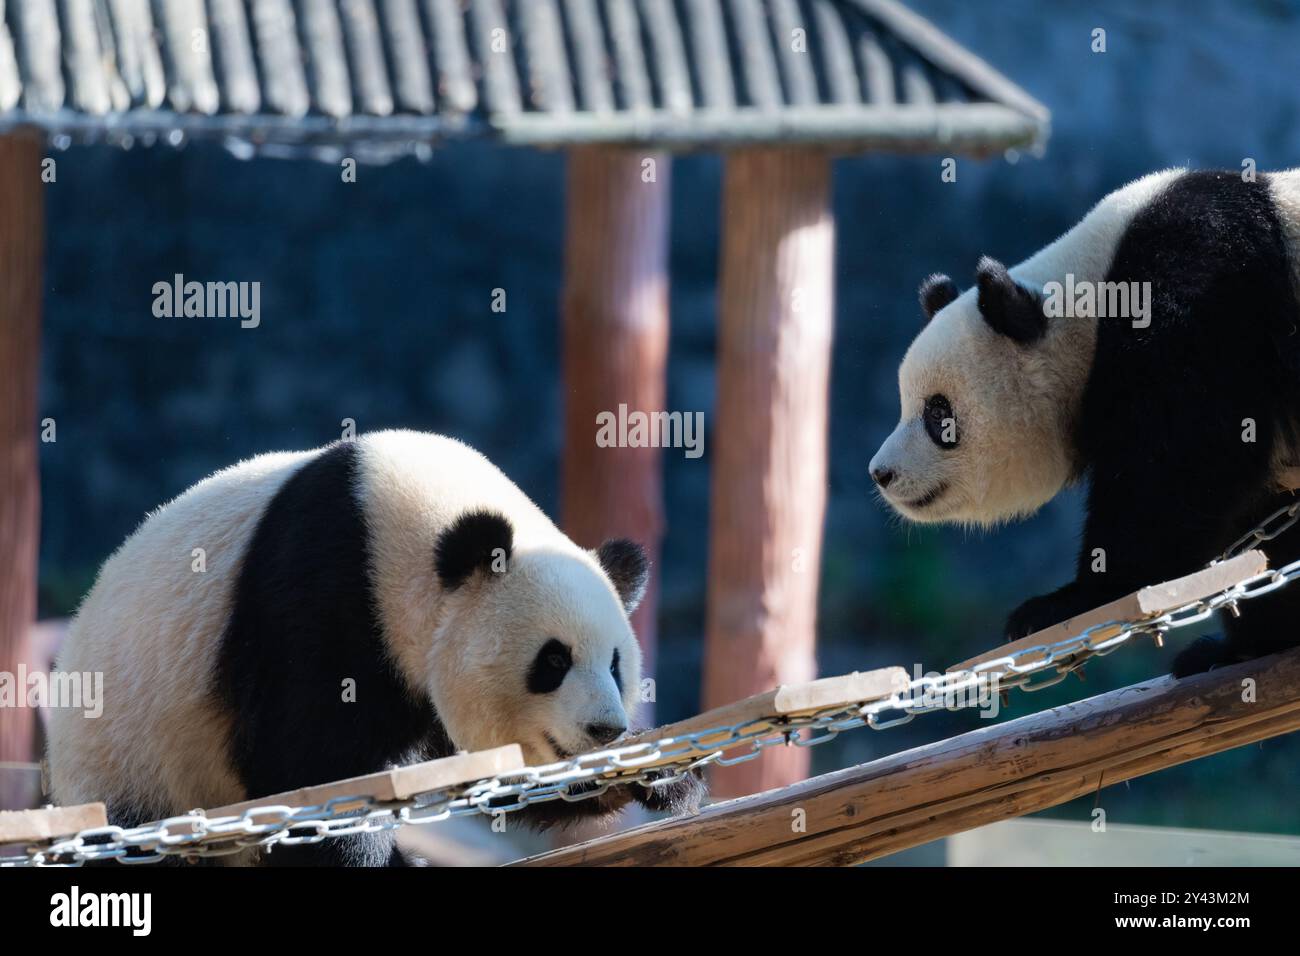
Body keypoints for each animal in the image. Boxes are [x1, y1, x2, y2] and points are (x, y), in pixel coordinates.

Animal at [47, 430, 703, 865]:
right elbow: (316, 770)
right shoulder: (320, 598)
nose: (604, 730)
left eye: (616, 666)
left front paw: (661, 774)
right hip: (127, 765)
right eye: (554, 660)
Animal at [869, 168, 1300, 678]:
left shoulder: (1202, 297)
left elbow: (1181, 466)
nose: (881, 473)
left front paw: (1059, 605)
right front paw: (1249, 642)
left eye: (937, 413)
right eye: (905, 403)